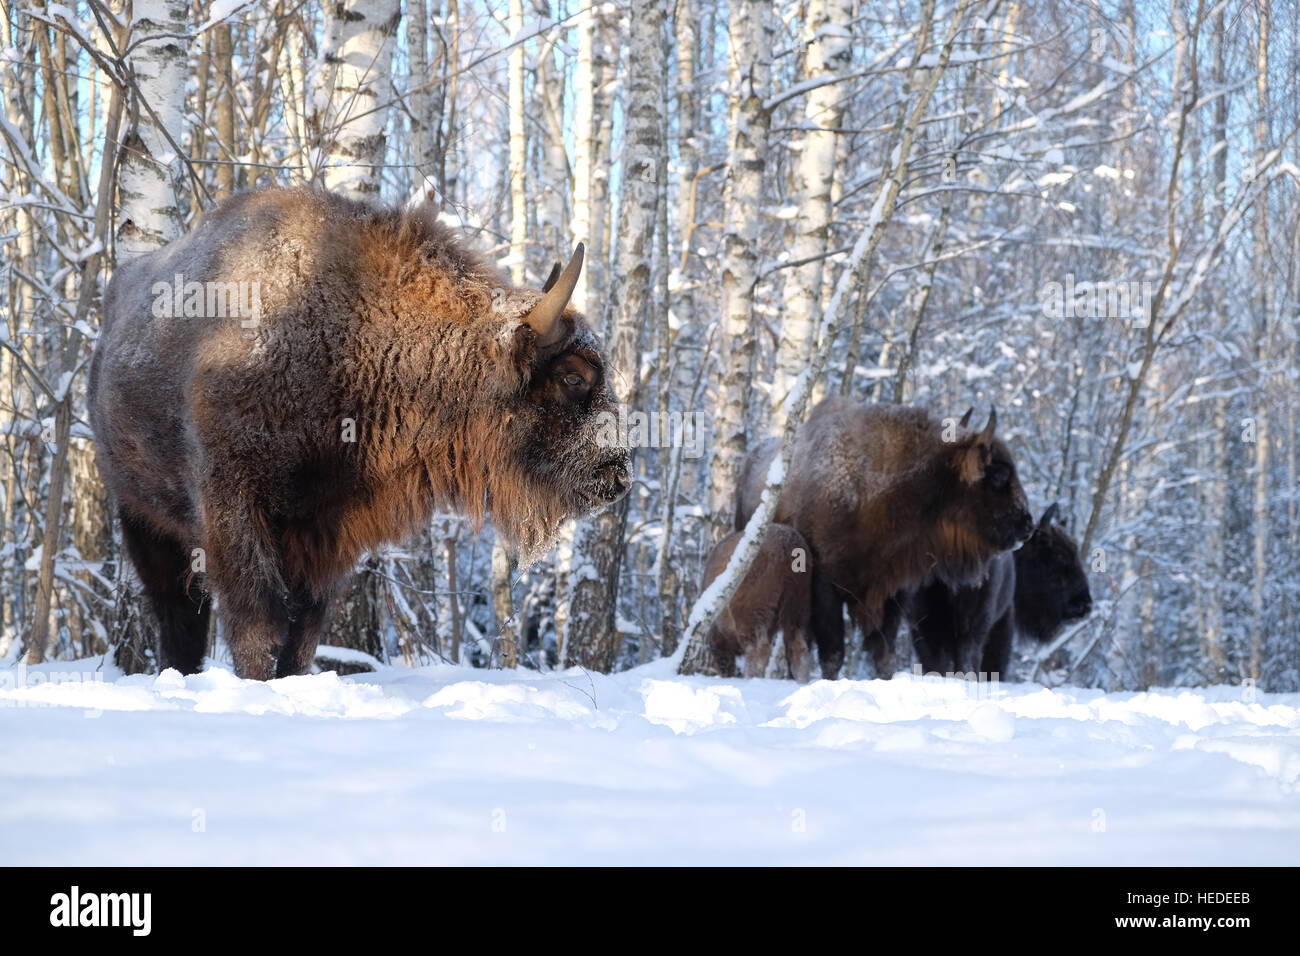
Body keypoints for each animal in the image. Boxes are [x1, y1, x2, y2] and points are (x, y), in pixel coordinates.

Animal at [90, 187, 629, 681]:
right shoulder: (234, 509)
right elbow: (257, 622)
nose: (618, 475)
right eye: (574, 377)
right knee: (176, 611)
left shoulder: (324, 531)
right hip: (140, 515)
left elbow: (303, 629)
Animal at [702, 522, 811, 681]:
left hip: (751, 614)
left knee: (759, 649)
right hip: (797, 607)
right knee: (798, 647)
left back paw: (752, 678)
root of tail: (788, 543)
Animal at [738, 400, 1029, 676]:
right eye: (999, 475)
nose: (1026, 524)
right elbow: (833, 654)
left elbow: (884, 654)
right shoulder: (825, 589)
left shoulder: (891, 592)